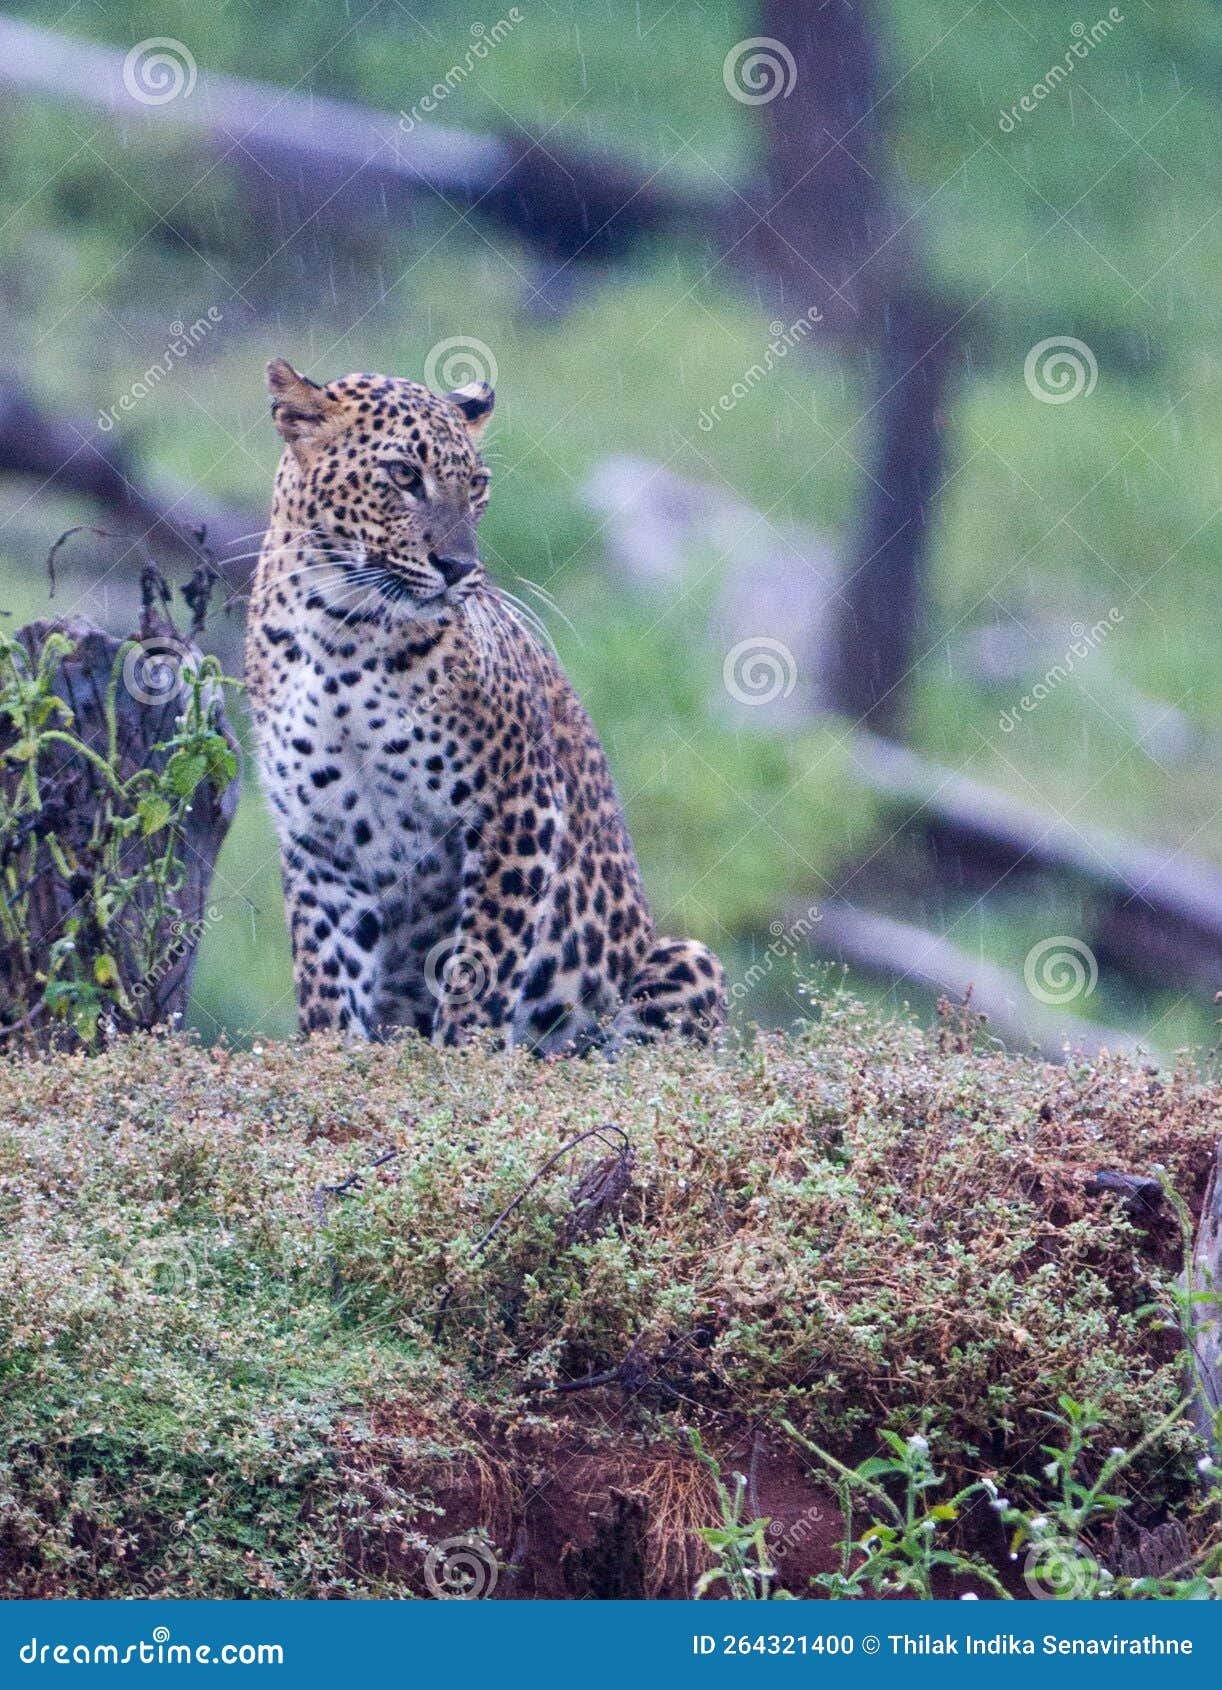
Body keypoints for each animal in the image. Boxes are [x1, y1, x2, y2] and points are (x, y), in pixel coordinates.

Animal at [245, 357, 726, 1055]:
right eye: (402, 476)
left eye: (475, 485)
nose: (457, 567)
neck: (342, 631)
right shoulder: (321, 842)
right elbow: (328, 978)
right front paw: (334, 1061)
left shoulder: (519, 806)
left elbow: (484, 962)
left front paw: (459, 1063)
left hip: (685, 961)